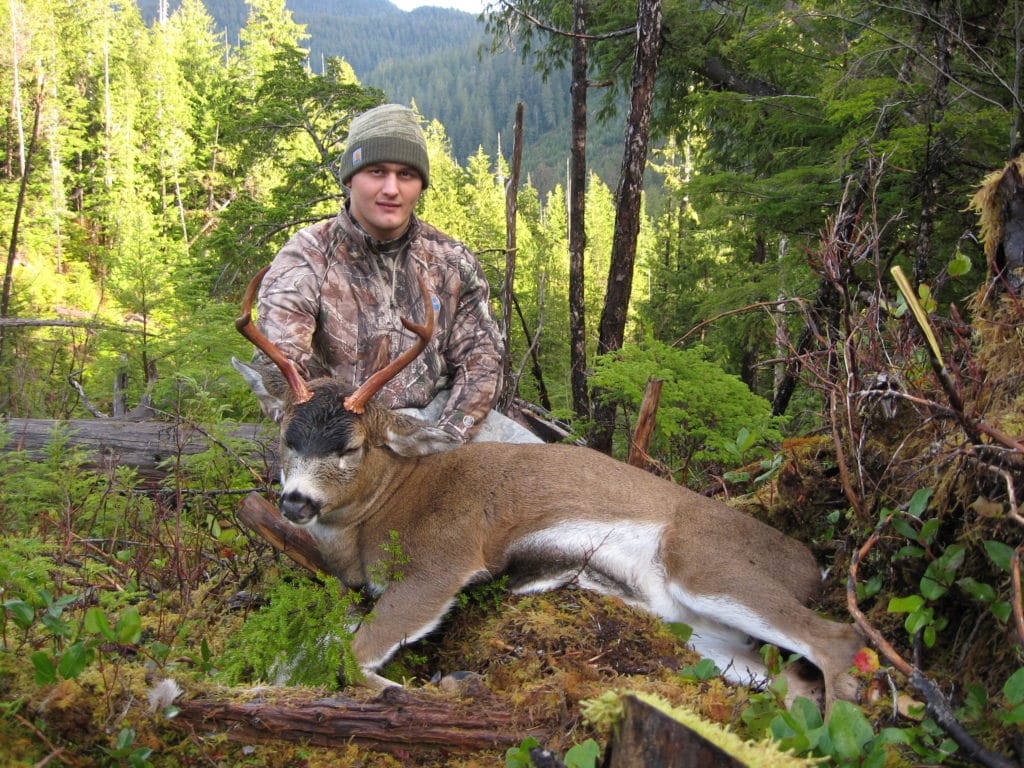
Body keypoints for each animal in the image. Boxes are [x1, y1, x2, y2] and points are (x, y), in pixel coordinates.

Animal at [232, 265, 866, 712]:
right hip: (696, 630)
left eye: (352, 447)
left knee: (836, 640)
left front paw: (443, 685)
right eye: (286, 437)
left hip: (706, 562)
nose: (296, 502)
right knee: (794, 680)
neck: (383, 511)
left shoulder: (444, 558)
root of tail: (812, 564)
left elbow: (353, 656)